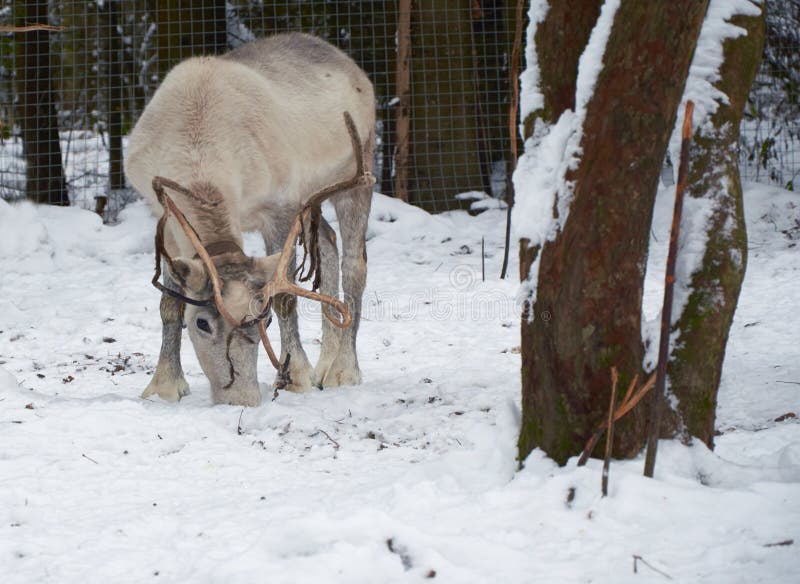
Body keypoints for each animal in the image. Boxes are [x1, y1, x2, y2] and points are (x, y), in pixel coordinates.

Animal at [124, 33, 375, 407]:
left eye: (265, 321)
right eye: (201, 323)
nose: (241, 399)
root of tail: (354, 68)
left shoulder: (280, 207)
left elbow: (286, 296)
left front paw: (295, 376)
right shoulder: (164, 218)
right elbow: (169, 304)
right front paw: (164, 385)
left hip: (357, 172)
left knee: (354, 263)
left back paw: (344, 370)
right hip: (312, 198)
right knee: (328, 243)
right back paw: (325, 364)